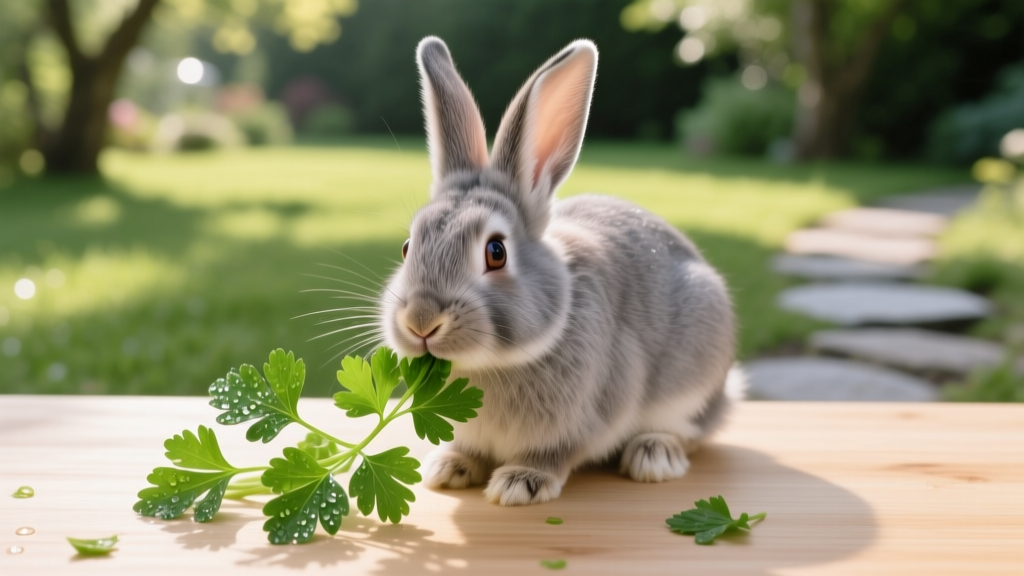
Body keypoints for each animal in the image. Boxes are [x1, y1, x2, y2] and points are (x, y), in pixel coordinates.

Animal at [379, 36, 742, 506]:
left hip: (695, 373)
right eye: (408, 248)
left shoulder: (583, 418)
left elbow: (554, 454)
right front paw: (446, 468)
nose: (421, 321)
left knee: (691, 431)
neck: (491, 366)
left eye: (496, 251)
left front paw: (519, 484)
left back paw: (654, 455)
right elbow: (467, 448)